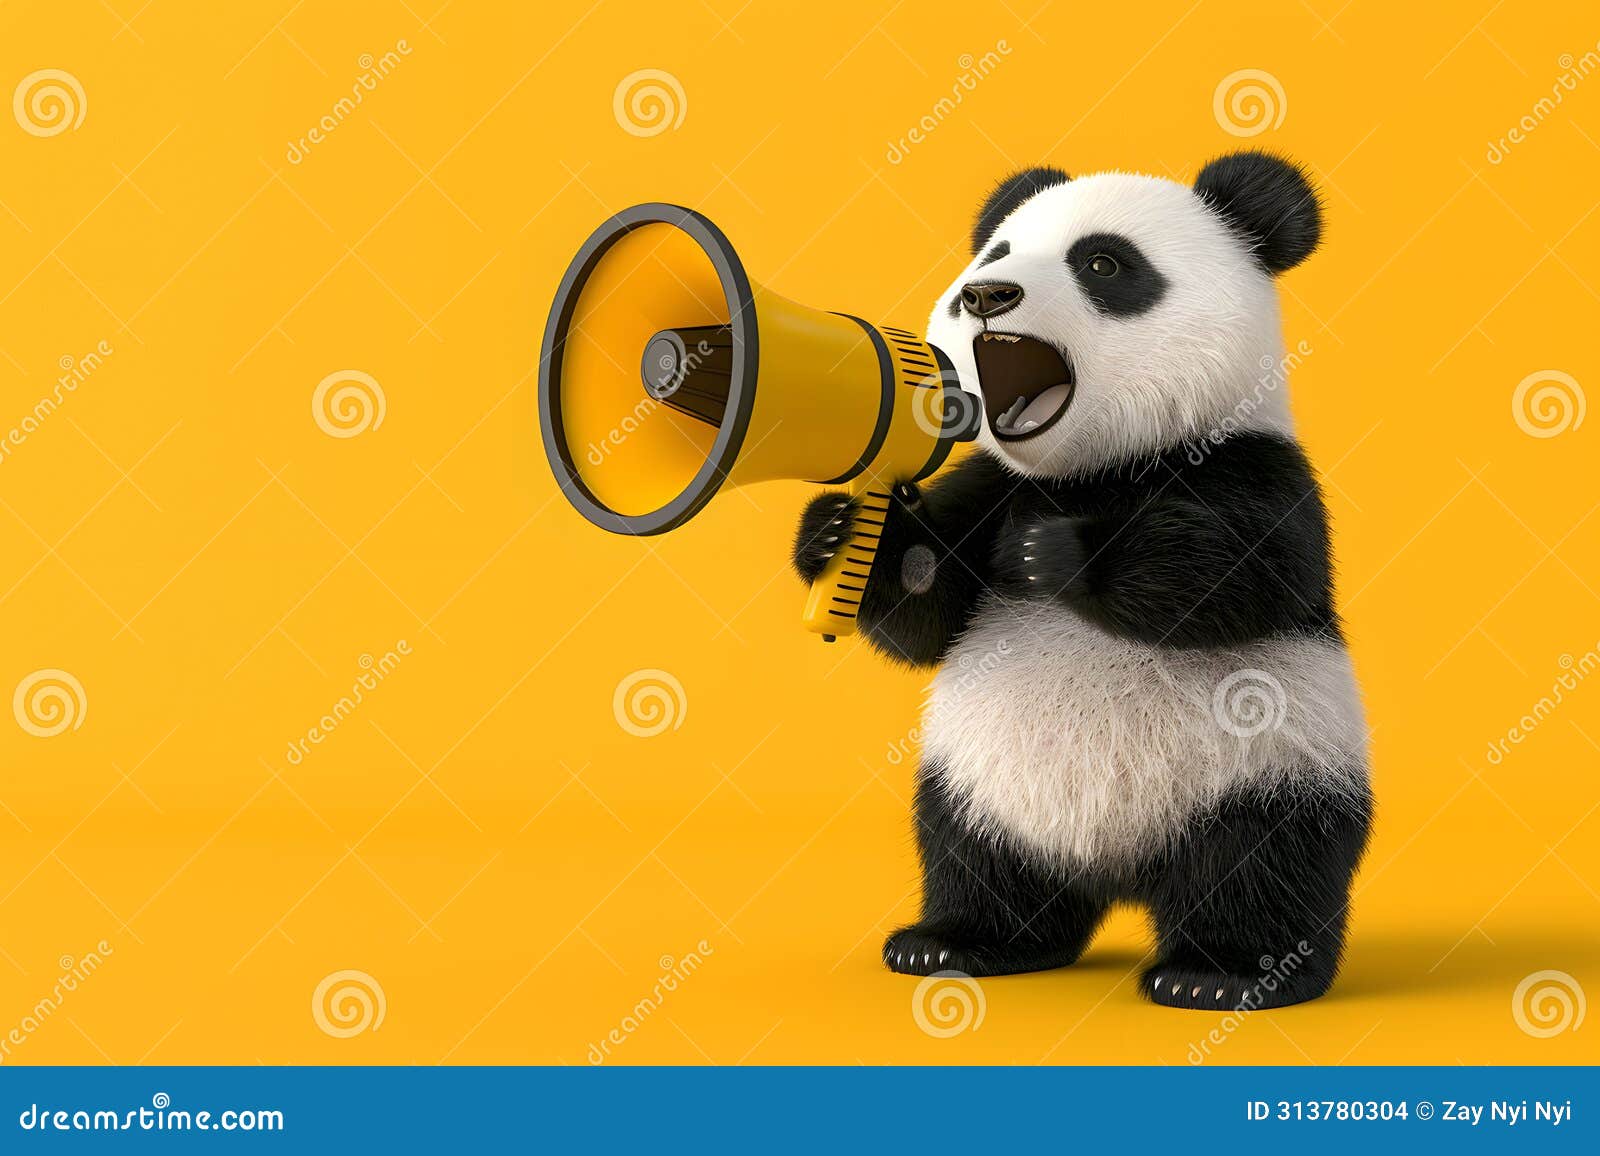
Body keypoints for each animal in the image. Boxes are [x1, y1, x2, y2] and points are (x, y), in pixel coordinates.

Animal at [792, 151, 1370, 1010]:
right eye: (996, 253)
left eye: (1103, 264)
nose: (985, 295)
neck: (1090, 470)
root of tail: (1116, 869)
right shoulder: (990, 485)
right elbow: (929, 618)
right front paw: (840, 536)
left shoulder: (1253, 465)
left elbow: (1236, 576)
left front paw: (1053, 554)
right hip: (981, 784)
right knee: (976, 860)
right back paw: (957, 941)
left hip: (1269, 766)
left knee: (1262, 865)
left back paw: (1222, 973)